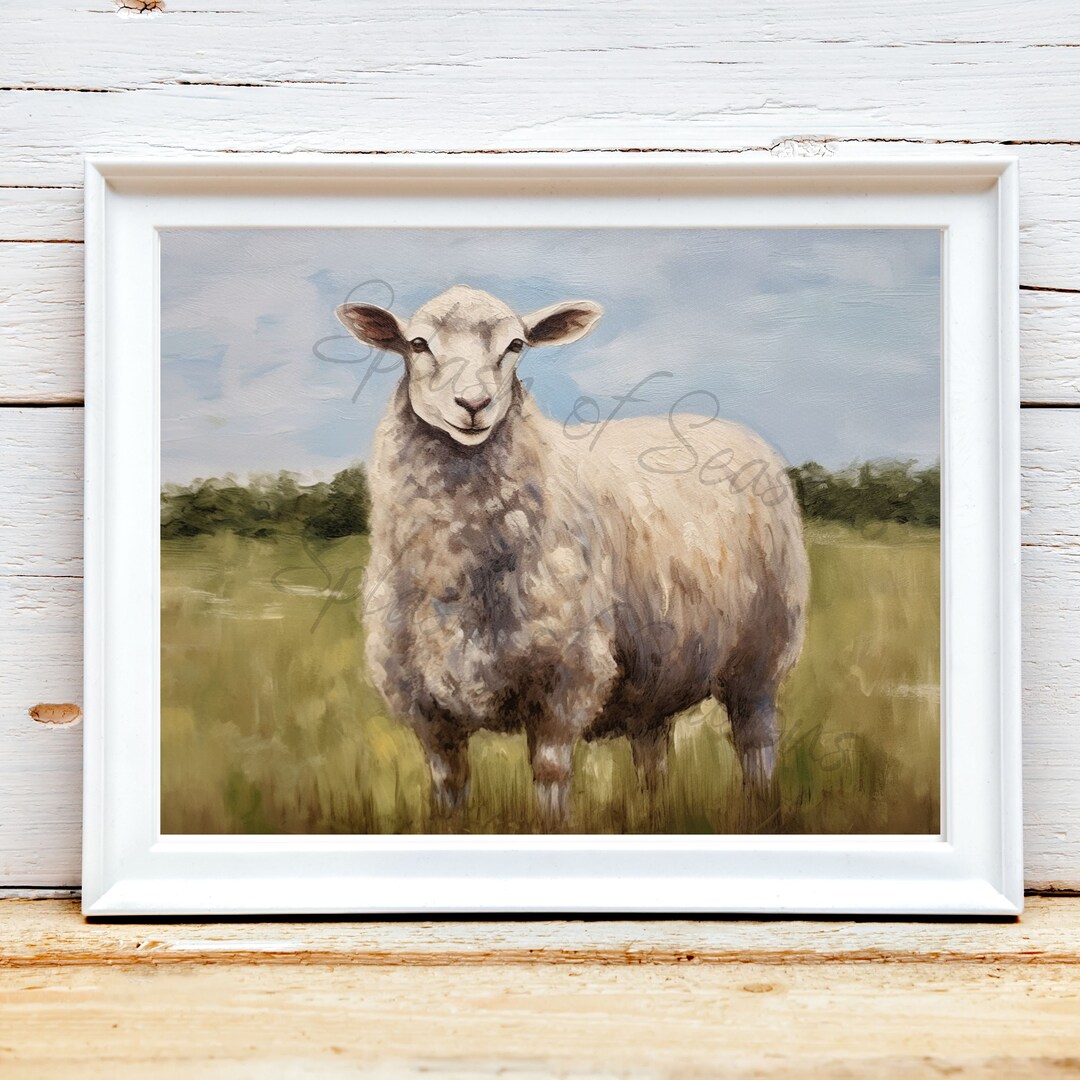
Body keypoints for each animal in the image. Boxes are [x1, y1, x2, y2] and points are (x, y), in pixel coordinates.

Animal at [336, 284, 809, 826]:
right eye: (417, 344)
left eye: (516, 345)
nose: (474, 404)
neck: (458, 572)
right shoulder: (423, 704)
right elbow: (448, 784)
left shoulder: (567, 678)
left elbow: (549, 774)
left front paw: (550, 826)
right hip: (656, 670)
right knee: (653, 752)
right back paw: (653, 814)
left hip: (761, 655)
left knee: (756, 741)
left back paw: (760, 808)